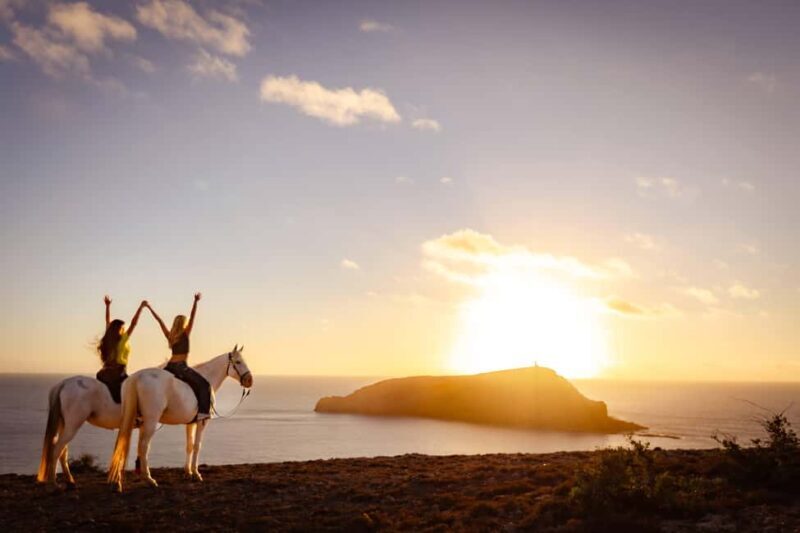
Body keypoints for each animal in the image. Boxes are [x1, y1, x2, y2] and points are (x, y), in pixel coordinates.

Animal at [107, 346, 253, 491]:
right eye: (238, 362)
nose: (250, 380)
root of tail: (136, 377)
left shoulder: (190, 423)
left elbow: (189, 446)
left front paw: (188, 472)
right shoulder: (202, 421)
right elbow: (197, 446)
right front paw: (196, 473)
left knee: (123, 444)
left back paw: (119, 481)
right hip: (150, 421)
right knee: (143, 446)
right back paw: (149, 479)